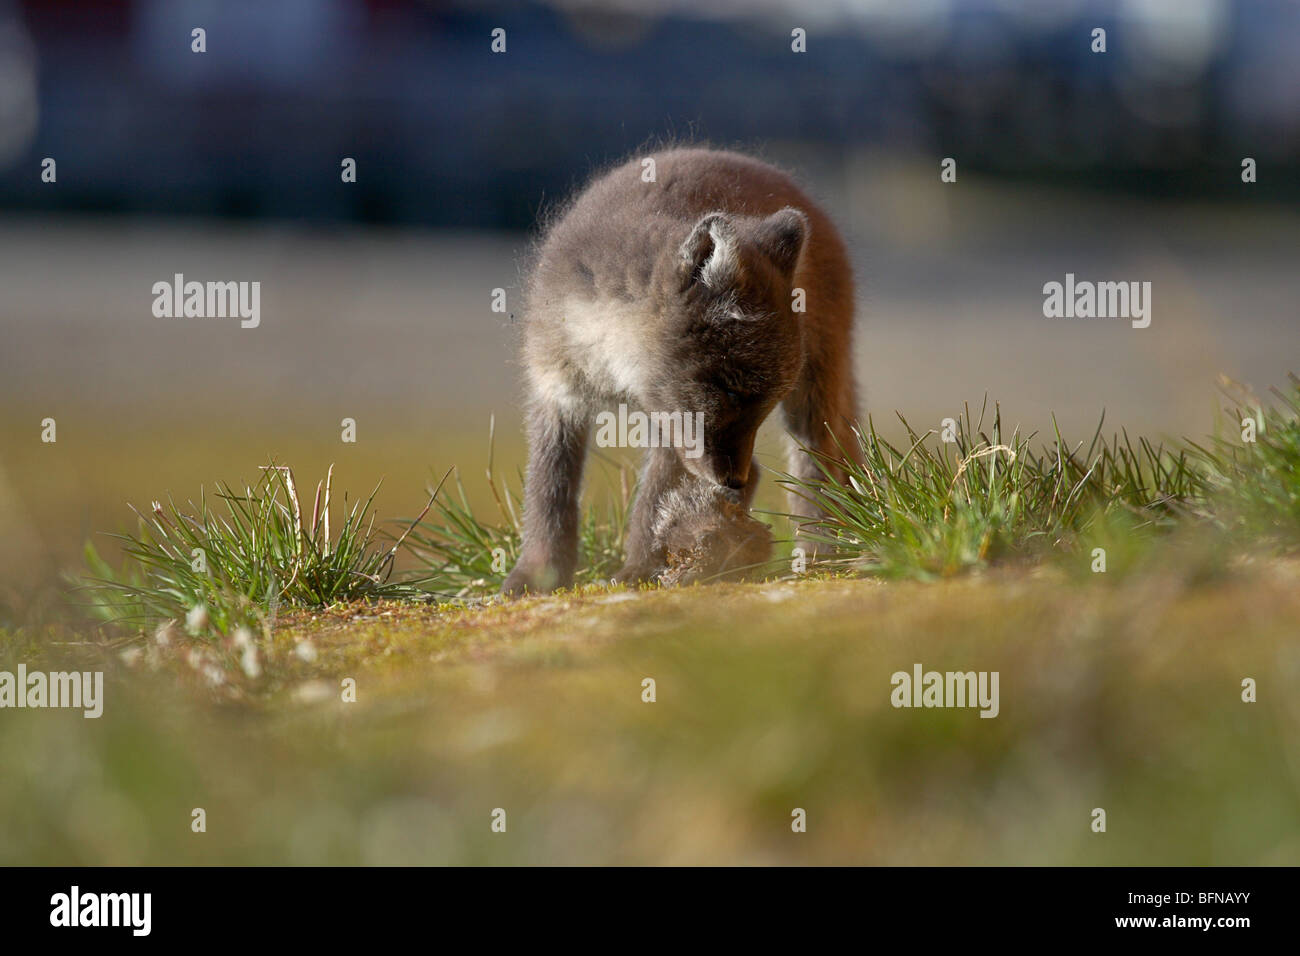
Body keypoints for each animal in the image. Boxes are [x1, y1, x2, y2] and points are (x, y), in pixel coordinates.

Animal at [502, 147, 860, 596]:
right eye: (731, 392)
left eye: (763, 405)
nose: (733, 482)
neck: (608, 354)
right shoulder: (556, 388)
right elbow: (549, 490)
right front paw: (538, 575)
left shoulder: (668, 424)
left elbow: (653, 499)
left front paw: (639, 570)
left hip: (816, 389)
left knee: (819, 463)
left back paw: (819, 552)